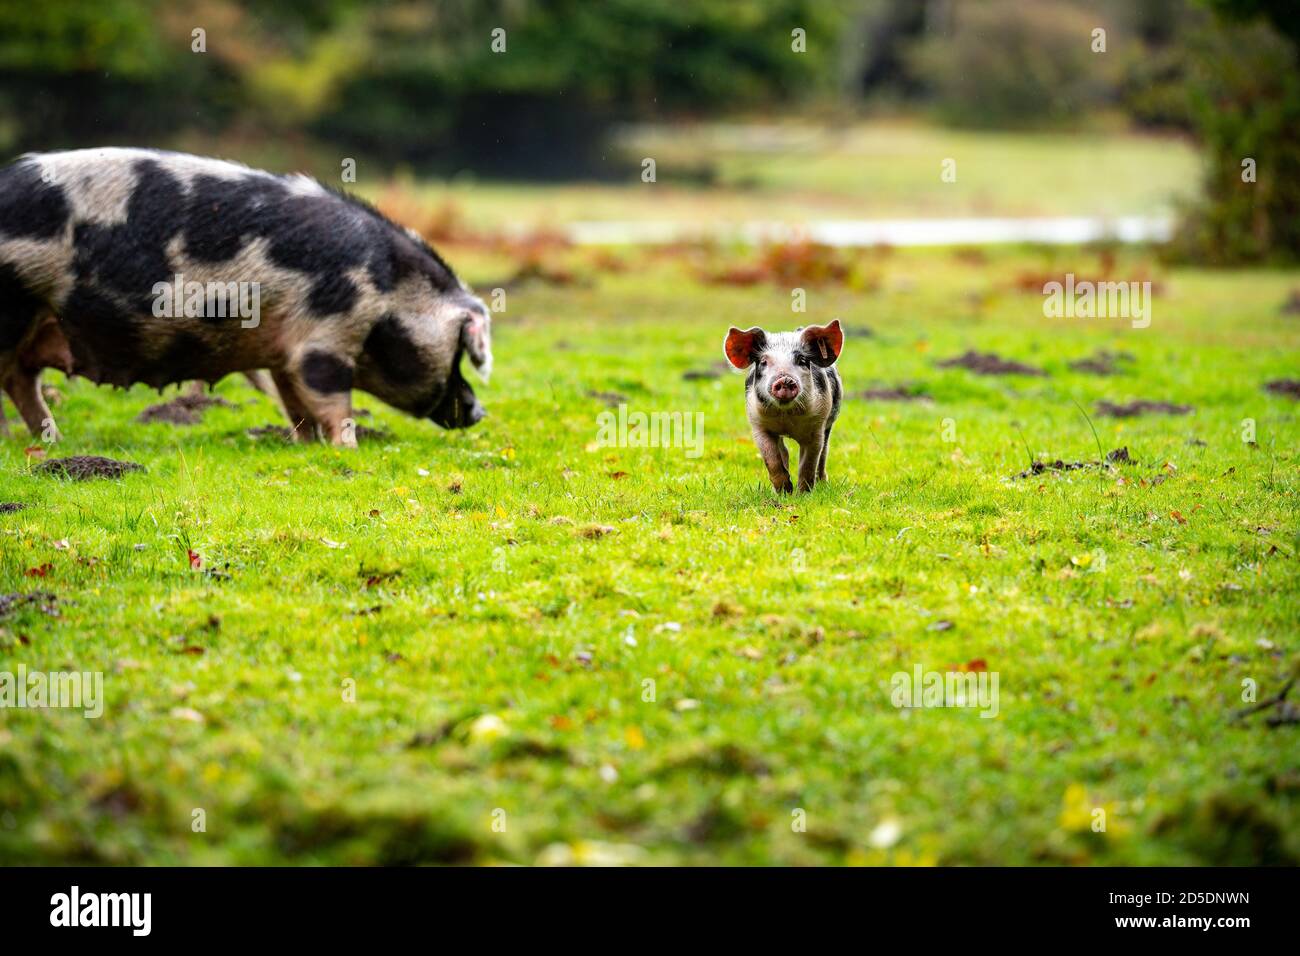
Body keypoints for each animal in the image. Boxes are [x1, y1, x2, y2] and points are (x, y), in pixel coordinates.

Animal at [0, 148, 492, 445]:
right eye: (456, 354)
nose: (479, 411)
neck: (387, 289)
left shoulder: (285, 354)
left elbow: (296, 403)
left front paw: (307, 445)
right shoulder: (326, 337)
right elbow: (332, 399)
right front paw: (348, 449)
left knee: (20, 379)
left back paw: (52, 440)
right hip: (16, 302)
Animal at [723, 320, 843, 493]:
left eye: (802, 361)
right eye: (764, 362)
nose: (785, 379)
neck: (786, 417)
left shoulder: (817, 425)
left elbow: (808, 463)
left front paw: (803, 493)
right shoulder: (758, 425)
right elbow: (772, 459)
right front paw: (784, 491)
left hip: (829, 423)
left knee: (823, 453)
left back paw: (822, 483)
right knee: (784, 451)